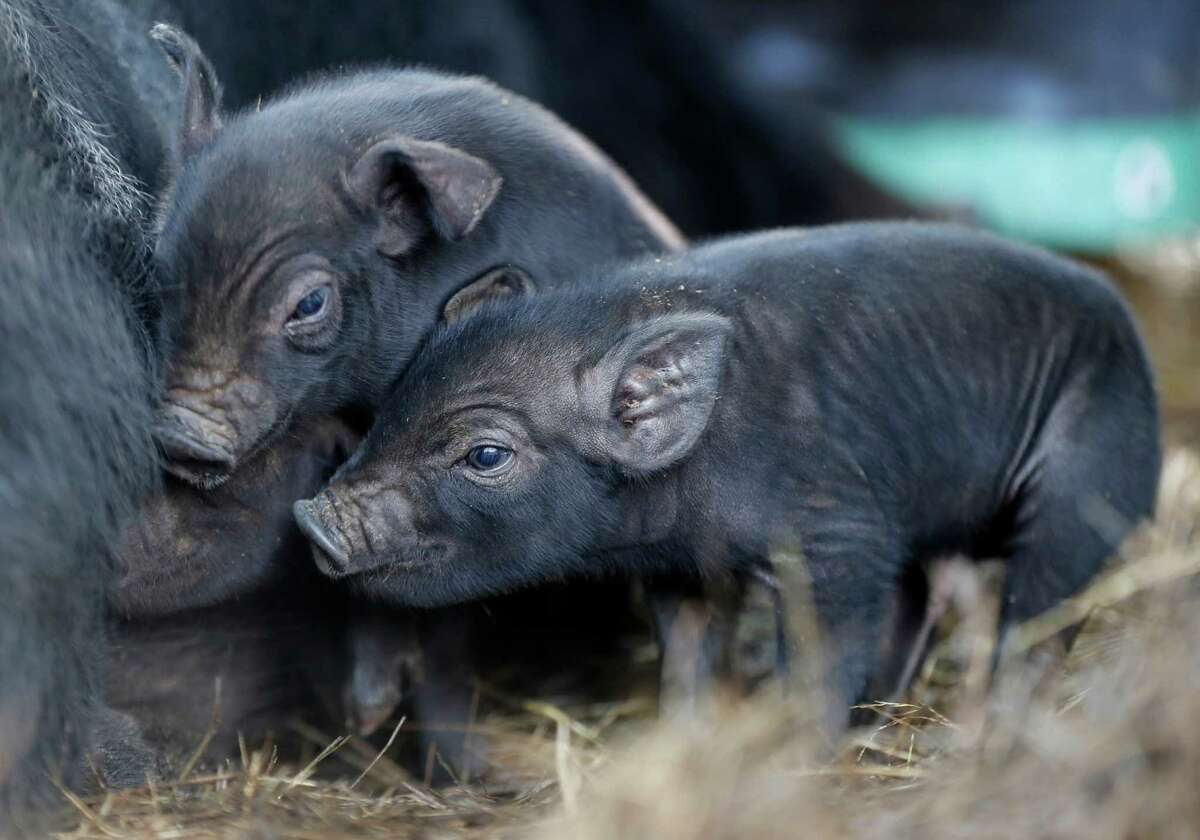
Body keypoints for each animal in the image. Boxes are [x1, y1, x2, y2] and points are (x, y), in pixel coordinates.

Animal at [294, 223, 1161, 724]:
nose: (311, 518)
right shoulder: (684, 570)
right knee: (926, 595)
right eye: (394, 403)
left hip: (1092, 476)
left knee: (1039, 608)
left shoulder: (840, 533)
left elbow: (821, 654)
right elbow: (685, 657)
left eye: (485, 454)